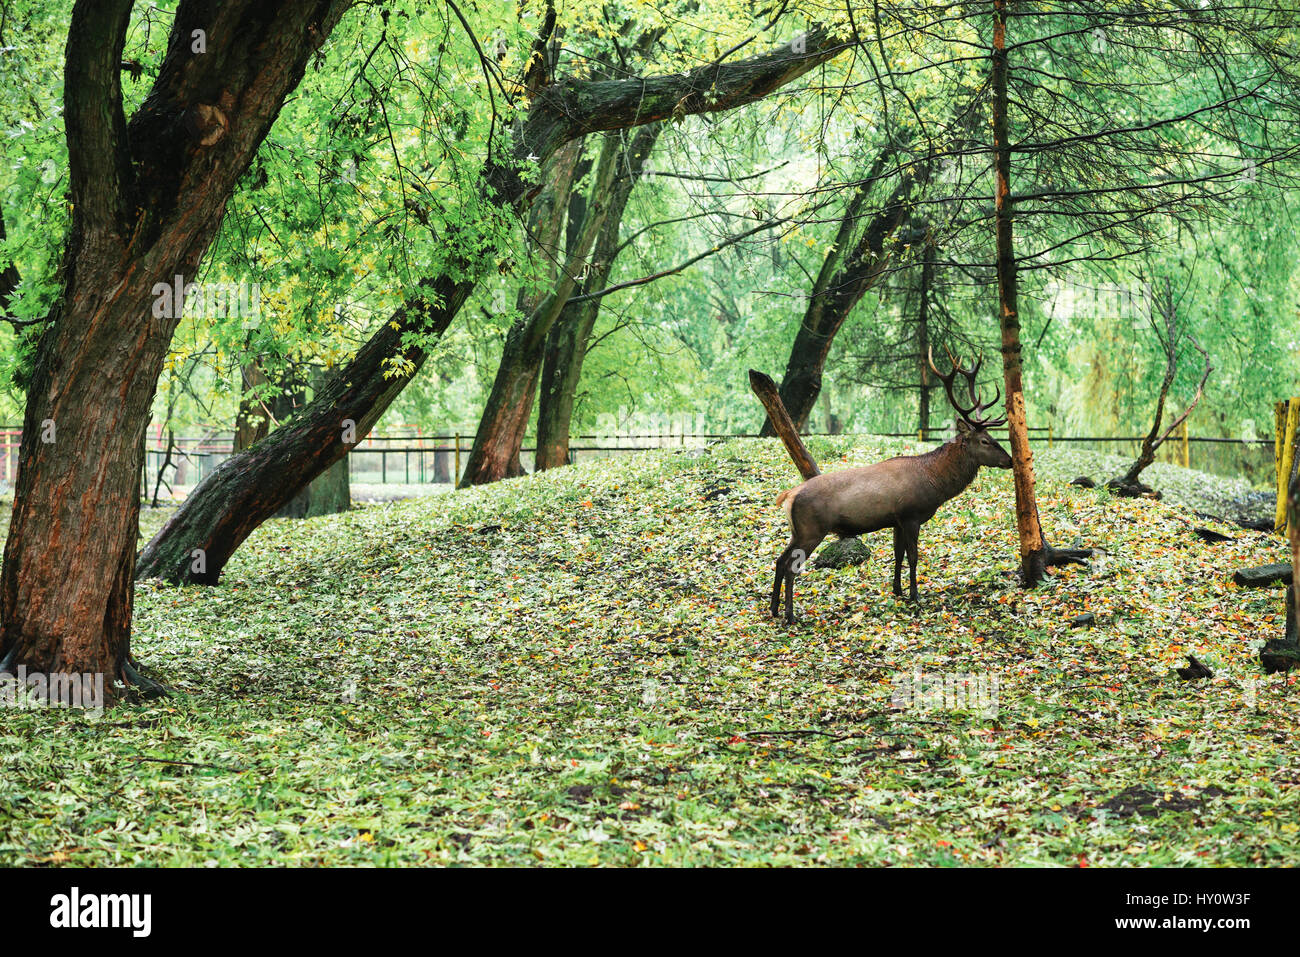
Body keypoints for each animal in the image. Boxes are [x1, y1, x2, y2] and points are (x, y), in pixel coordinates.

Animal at [770, 349, 1013, 623]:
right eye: (985, 441)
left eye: (992, 438)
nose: (1010, 460)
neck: (934, 481)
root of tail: (789, 495)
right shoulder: (911, 515)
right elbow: (914, 557)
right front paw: (915, 595)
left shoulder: (896, 520)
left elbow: (898, 555)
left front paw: (897, 590)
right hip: (812, 529)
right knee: (791, 566)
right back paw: (790, 615)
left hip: (797, 531)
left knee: (779, 560)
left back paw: (774, 608)